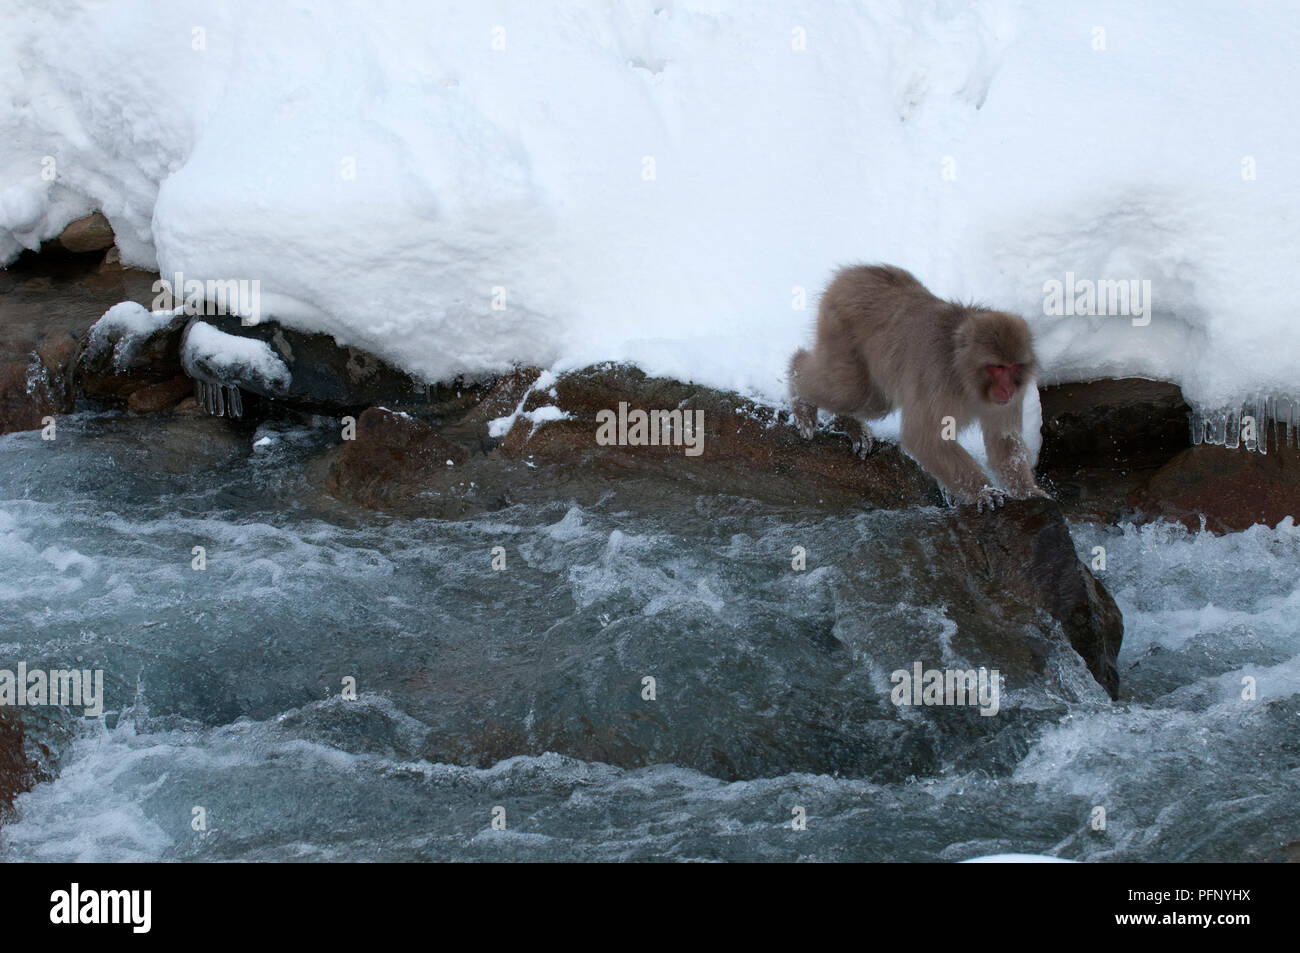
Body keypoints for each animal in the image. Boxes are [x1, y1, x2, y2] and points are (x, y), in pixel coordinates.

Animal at [788, 264, 1045, 507]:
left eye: (1013, 367)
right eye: (997, 367)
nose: (1007, 389)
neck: (965, 378)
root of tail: (855, 273)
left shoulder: (1013, 396)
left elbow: (1003, 440)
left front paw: (1029, 492)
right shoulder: (938, 381)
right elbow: (925, 439)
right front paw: (984, 493)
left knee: (874, 401)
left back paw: (846, 422)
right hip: (839, 329)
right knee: (853, 392)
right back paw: (799, 391)